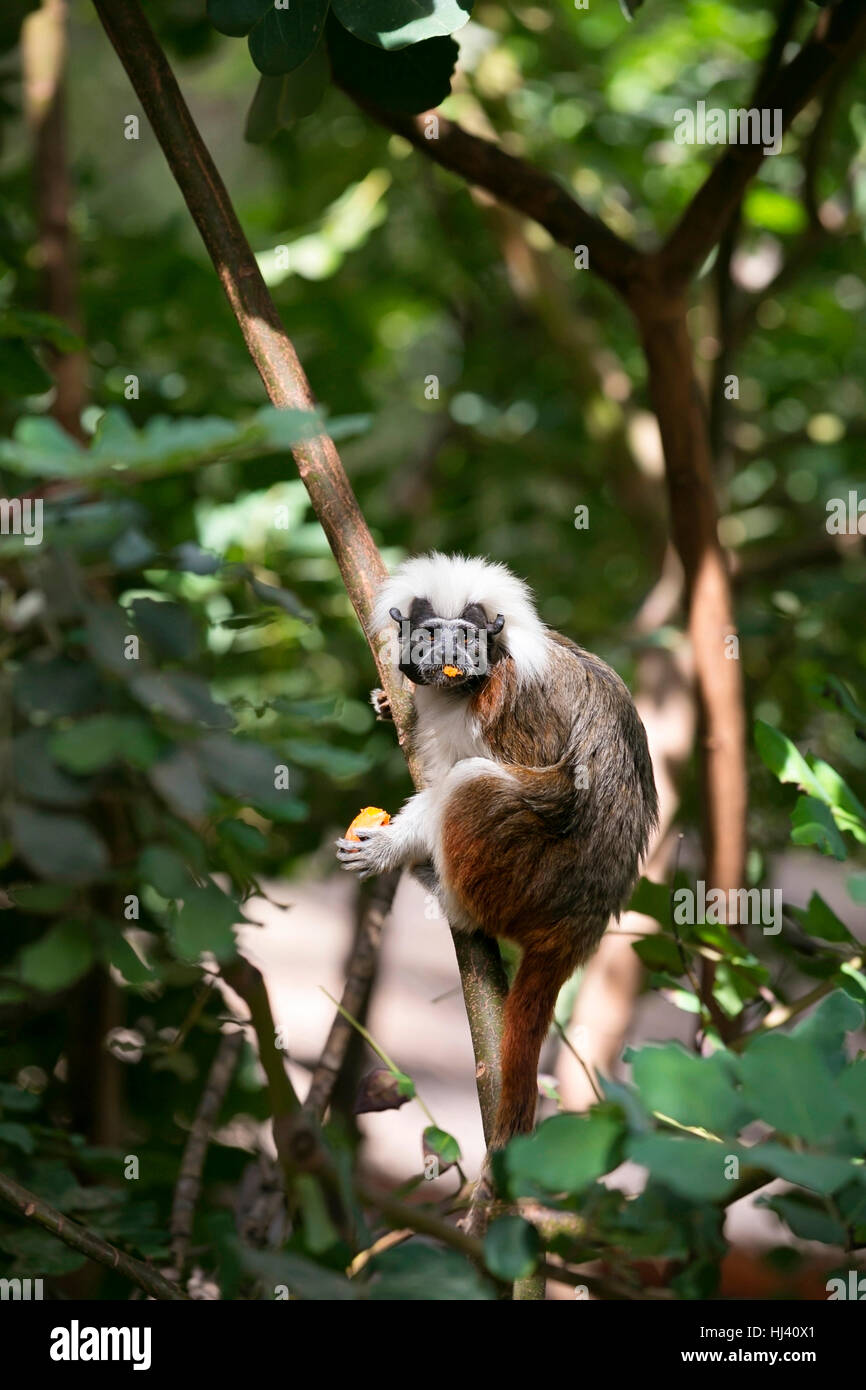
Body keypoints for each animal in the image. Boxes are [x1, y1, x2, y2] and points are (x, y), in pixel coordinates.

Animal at [336, 552, 658, 1150]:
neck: (457, 693)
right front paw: (387, 701)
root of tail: (583, 921)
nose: (448, 656)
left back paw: (451, 899)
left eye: (467, 637)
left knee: (478, 785)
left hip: (530, 877)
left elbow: (546, 786)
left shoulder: (514, 699)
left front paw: (390, 846)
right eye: (430, 634)